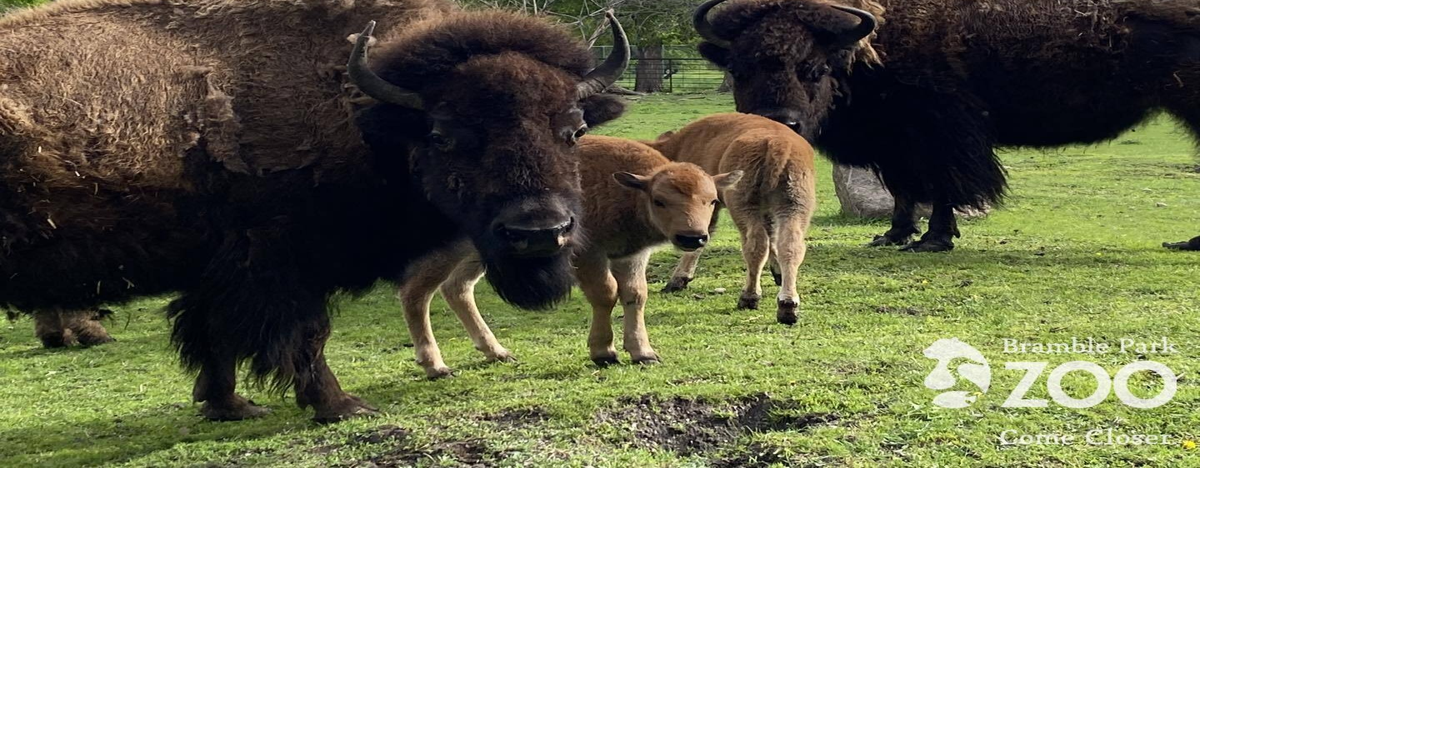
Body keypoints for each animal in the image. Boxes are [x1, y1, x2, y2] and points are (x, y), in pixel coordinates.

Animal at [0, 0, 629, 422]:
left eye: (573, 130)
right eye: (445, 135)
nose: (539, 232)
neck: (368, 113)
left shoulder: (219, 274)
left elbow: (213, 337)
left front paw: (229, 405)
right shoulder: (281, 266)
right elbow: (306, 335)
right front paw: (341, 404)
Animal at [399, 135, 739, 373]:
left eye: (711, 200)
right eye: (660, 200)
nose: (693, 237)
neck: (628, 190)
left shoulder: (629, 256)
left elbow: (635, 295)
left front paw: (644, 353)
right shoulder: (588, 254)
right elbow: (606, 293)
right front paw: (603, 352)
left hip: (478, 253)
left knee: (457, 288)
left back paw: (497, 352)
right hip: (448, 249)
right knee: (416, 293)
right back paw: (436, 367)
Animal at [648, 113, 817, 325]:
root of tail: (778, 144)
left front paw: (678, 280)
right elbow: (773, 239)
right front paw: (778, 272)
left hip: (743, 204)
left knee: (755, 244)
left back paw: (749, 297)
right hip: (794, 205)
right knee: (791, 245)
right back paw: (788, 305)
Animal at [692, 0, 1202, 252]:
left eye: (814, 68)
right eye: (738, 68)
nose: (781, 122)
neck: (867, 45)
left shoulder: (939, 132)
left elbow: (942, 185)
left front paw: (934, 239)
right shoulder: (893, 140)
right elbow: (903, 188)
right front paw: (892, 236)